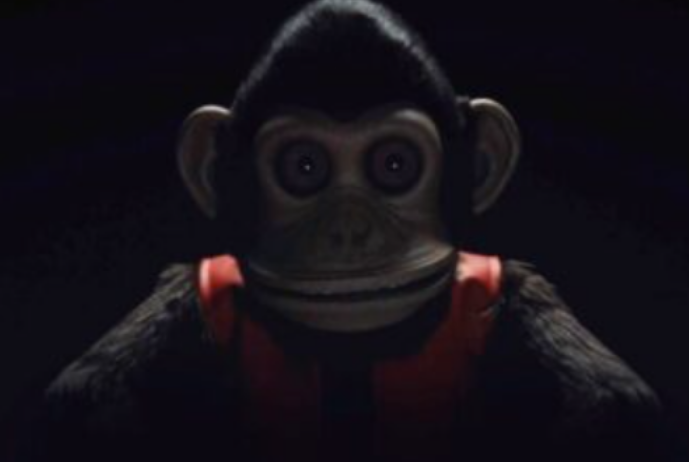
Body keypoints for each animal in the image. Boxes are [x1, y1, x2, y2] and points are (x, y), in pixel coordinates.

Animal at [15, 1, 685, 461]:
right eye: (305, 167)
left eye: (394, 164)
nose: (348, 231)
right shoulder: (193, 287)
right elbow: (85, 395)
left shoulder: (513, 284)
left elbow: (615, 404)